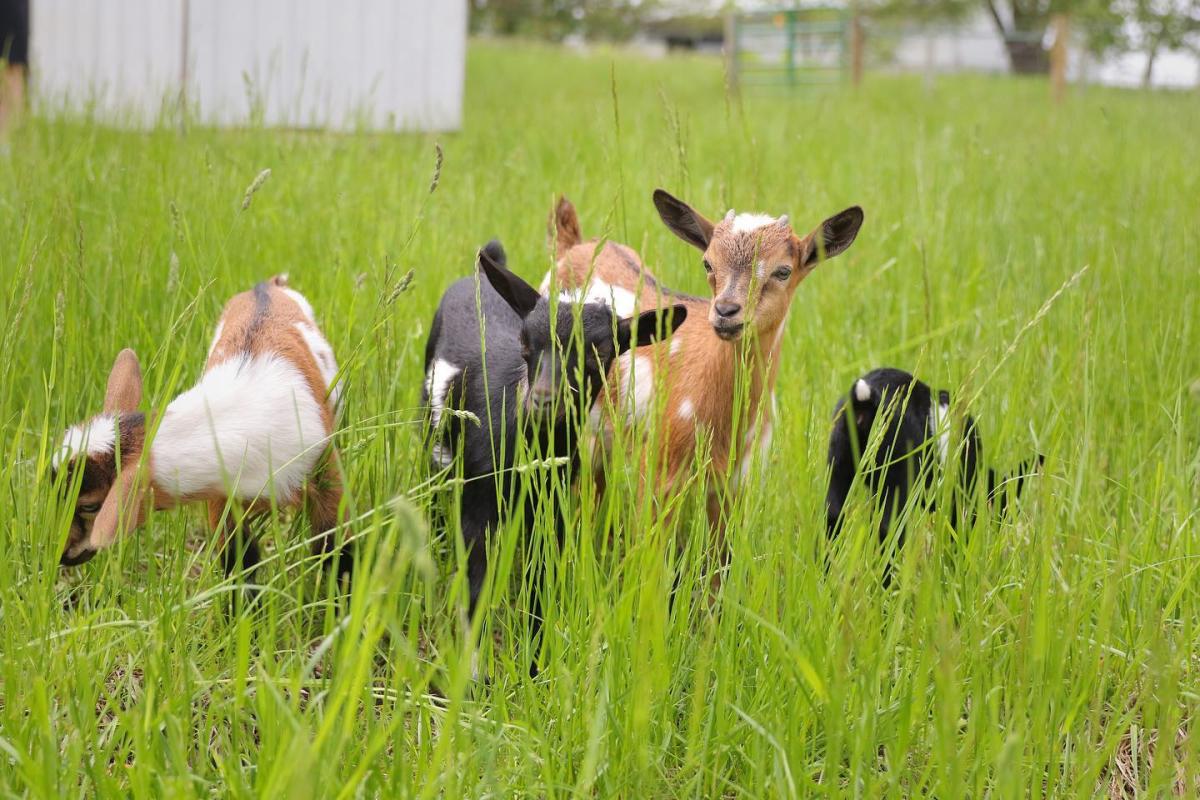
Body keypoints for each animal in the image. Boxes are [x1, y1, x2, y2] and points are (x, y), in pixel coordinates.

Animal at [52, 276, 350, 582]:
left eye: (89, 505)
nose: (63, 555)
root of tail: (266, 284)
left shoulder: (326, 473)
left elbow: (336, 551)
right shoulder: (223, 501)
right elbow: (239, 563)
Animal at [423, 241, 687, 663]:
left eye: (601, 351)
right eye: (525, 342)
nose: (544, 400)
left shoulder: (554, 505)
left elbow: (540, 585)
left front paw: (535, 661)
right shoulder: (478, 505)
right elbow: (477, 587)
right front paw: (475, 666)